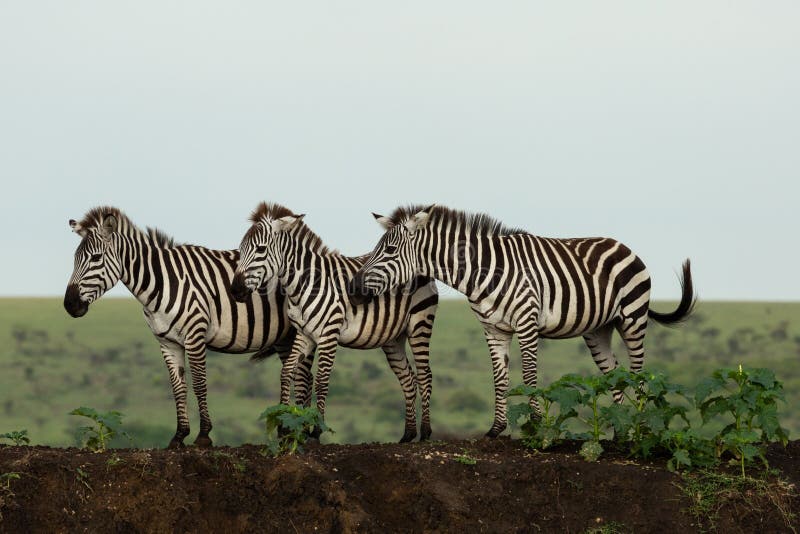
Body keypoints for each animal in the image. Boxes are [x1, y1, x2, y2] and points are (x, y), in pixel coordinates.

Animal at [63, 206, 310, 448]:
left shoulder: (195, 335)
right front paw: (179, 435)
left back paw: (305, 431)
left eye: (96, 258)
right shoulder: (167, 342)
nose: (69, 305)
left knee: (303, 375)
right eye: (75, 258)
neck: (162, 283)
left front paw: (203, 436)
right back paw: (297, 429)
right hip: (285, 337)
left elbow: (199, 384)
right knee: (298, 372)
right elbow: (178, 387)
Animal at [230, 202, 439, 442]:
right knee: (408, 379)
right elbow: (287, 371)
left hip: (420, 324)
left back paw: (425, 433)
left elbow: (321, 380)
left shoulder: (329, 333)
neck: (305, 284)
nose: (235, 290)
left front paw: (317, 430)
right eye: (241, 248)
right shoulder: (304, 334)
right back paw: (407, 435)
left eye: (261, 249)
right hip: (393, 337)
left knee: (425, 375)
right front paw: (283, 426)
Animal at [349, 204, 696, 437]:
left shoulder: (527, 322)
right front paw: (496, 429)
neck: (483, 272)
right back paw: (620, 430)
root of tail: (623, 245)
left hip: (633, 317)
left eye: (389, 250)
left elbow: (529, 376)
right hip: (598, 329)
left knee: (638, 373)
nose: (353, 288)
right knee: (615, 373)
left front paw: (536, 425)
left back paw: (639, 427)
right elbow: (499, 378)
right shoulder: (493, 329)